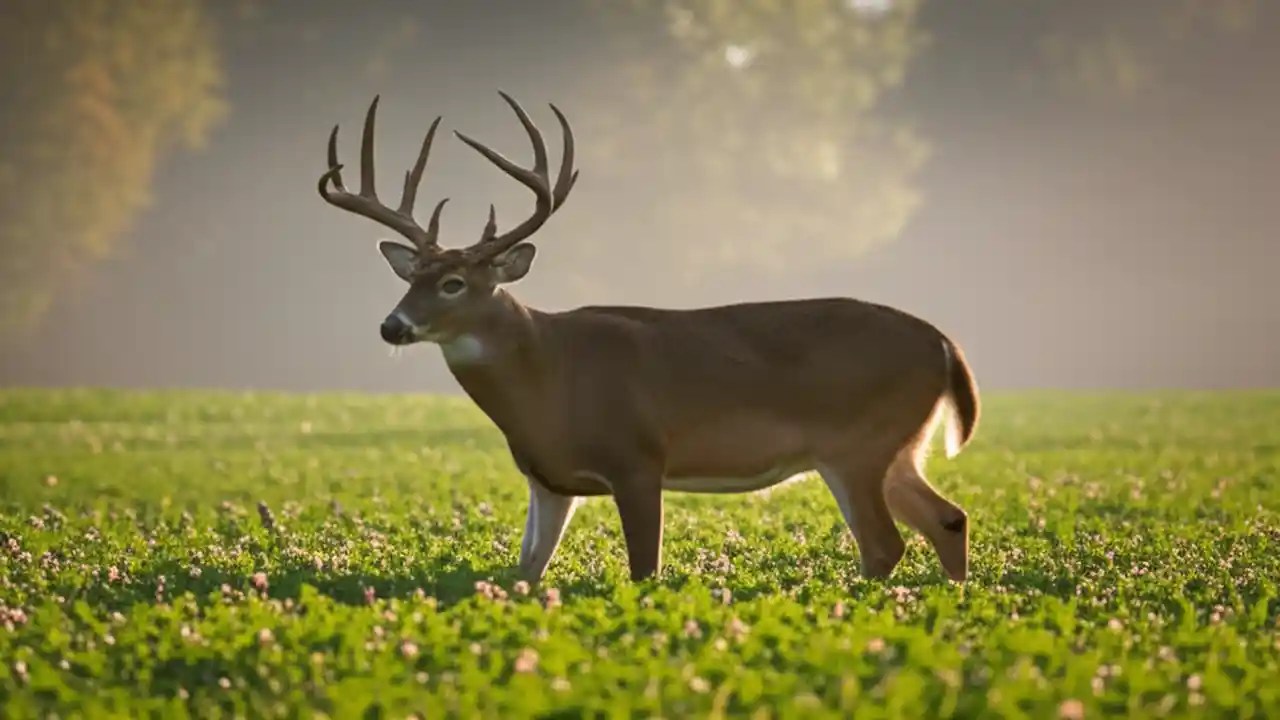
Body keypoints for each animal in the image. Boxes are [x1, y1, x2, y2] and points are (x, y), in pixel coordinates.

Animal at [317, 93, 980, 585]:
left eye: (454, 283)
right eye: (412, 278)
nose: (392, 325)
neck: (548, 378)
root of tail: (946, 344)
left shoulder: (637, 457)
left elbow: (644, 571)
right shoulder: (548, 479)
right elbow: (526, 573)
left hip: (856, 444)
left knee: (885, 545)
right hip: (897, 445)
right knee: (948, 519)